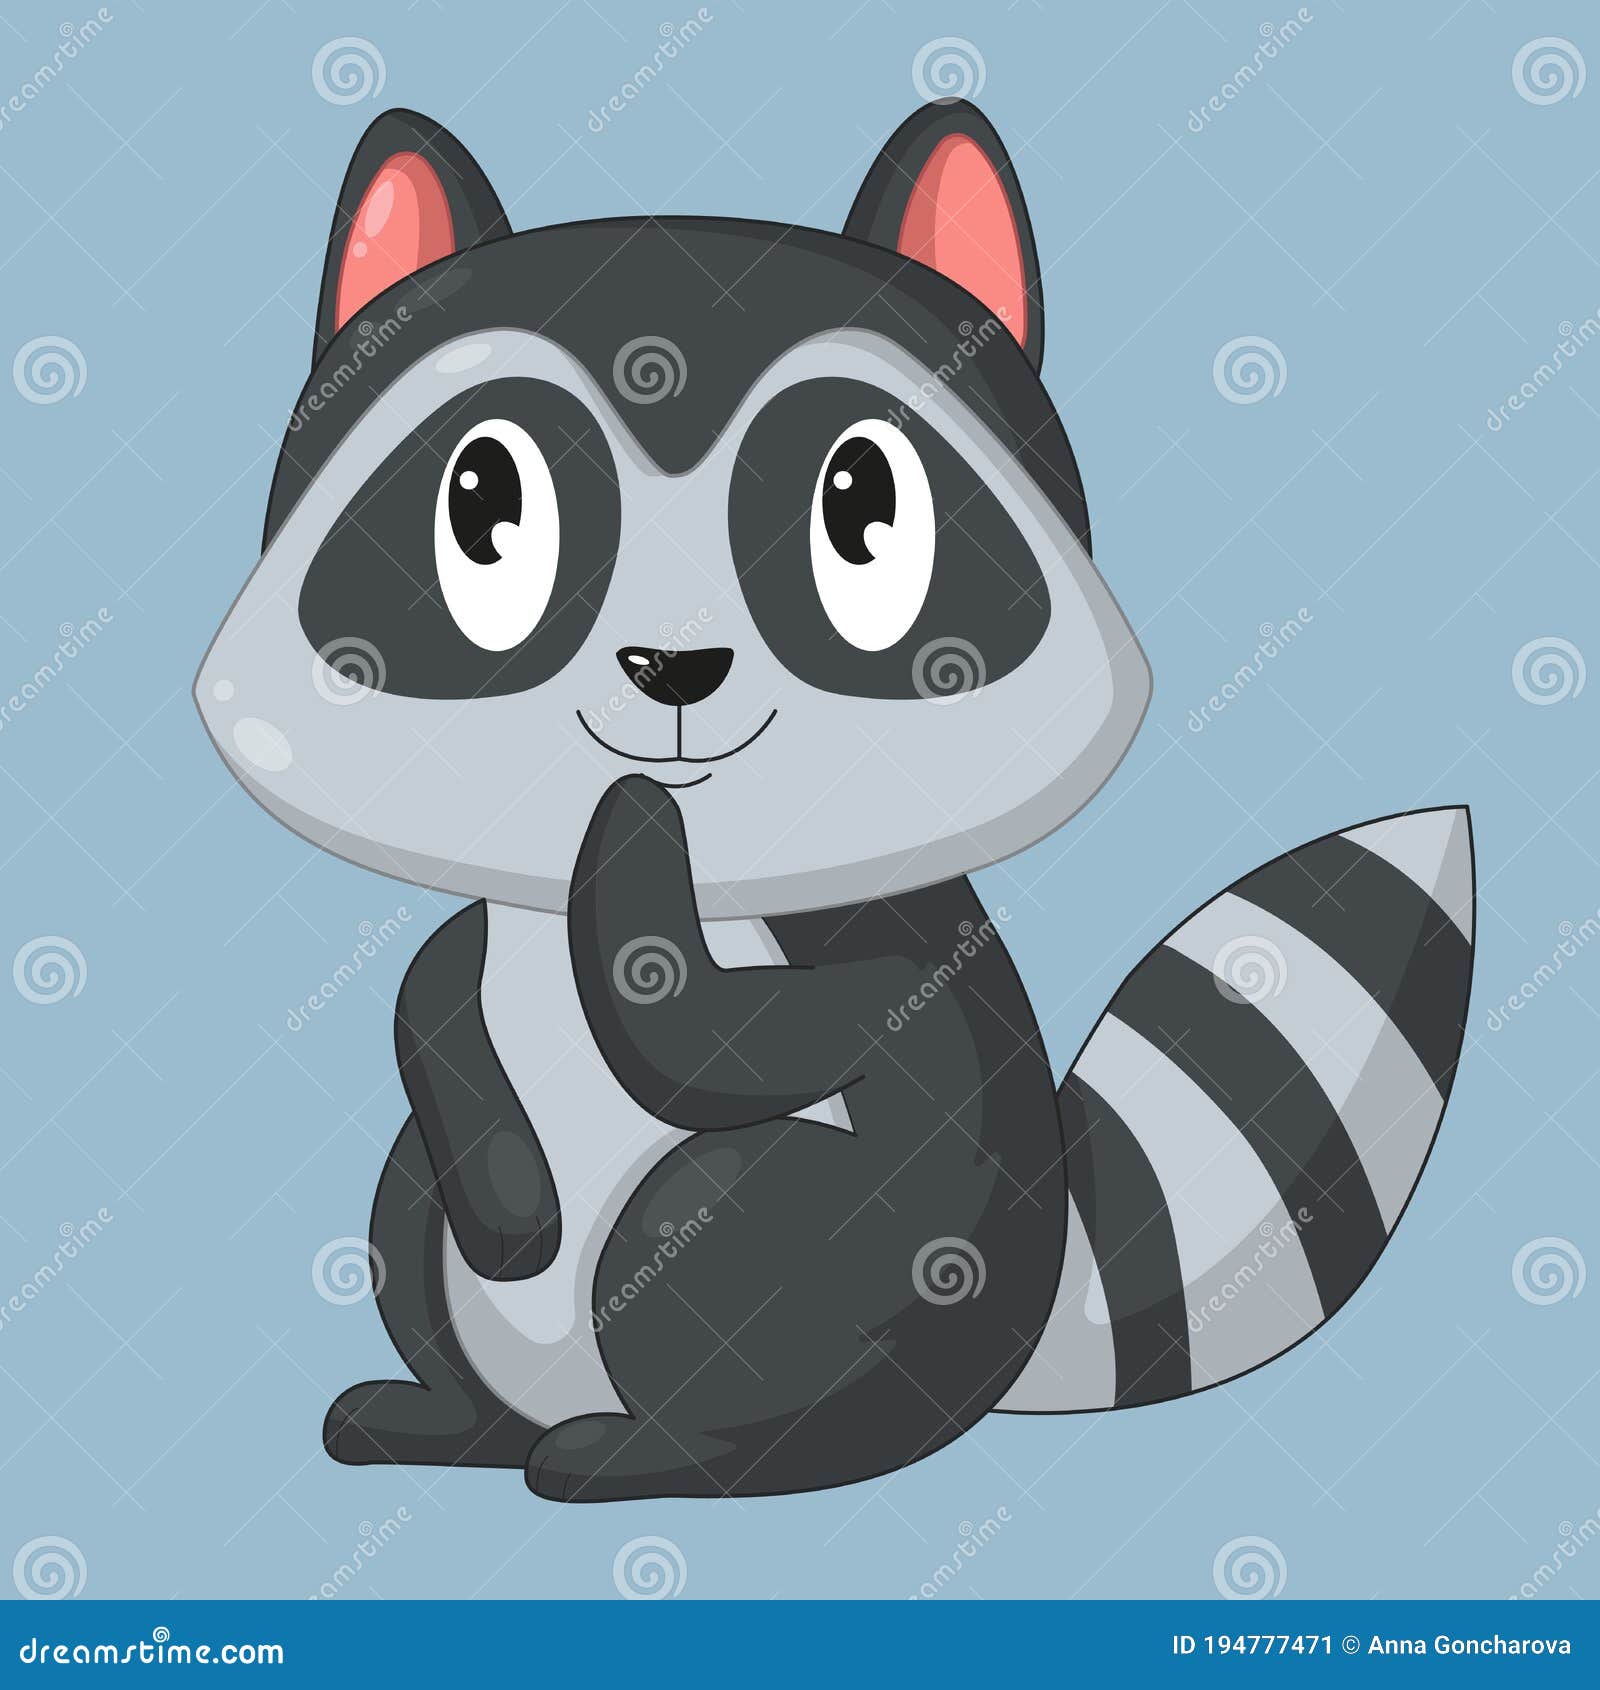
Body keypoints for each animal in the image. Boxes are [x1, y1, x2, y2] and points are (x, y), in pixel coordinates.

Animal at [195, 101, 1475, 1501]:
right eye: (482, 502)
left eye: (860, 504)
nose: (674, 665)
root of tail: (1018, 1334)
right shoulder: (483, 936)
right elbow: (428, 990)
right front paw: (514, 1177)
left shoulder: (891, 959)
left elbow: (714, 1032)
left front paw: (628, 855)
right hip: (428, 1231)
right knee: (421, 1214)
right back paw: (443, 1421)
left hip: (819, 1255)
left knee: (725, 1249)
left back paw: (645, 1453)